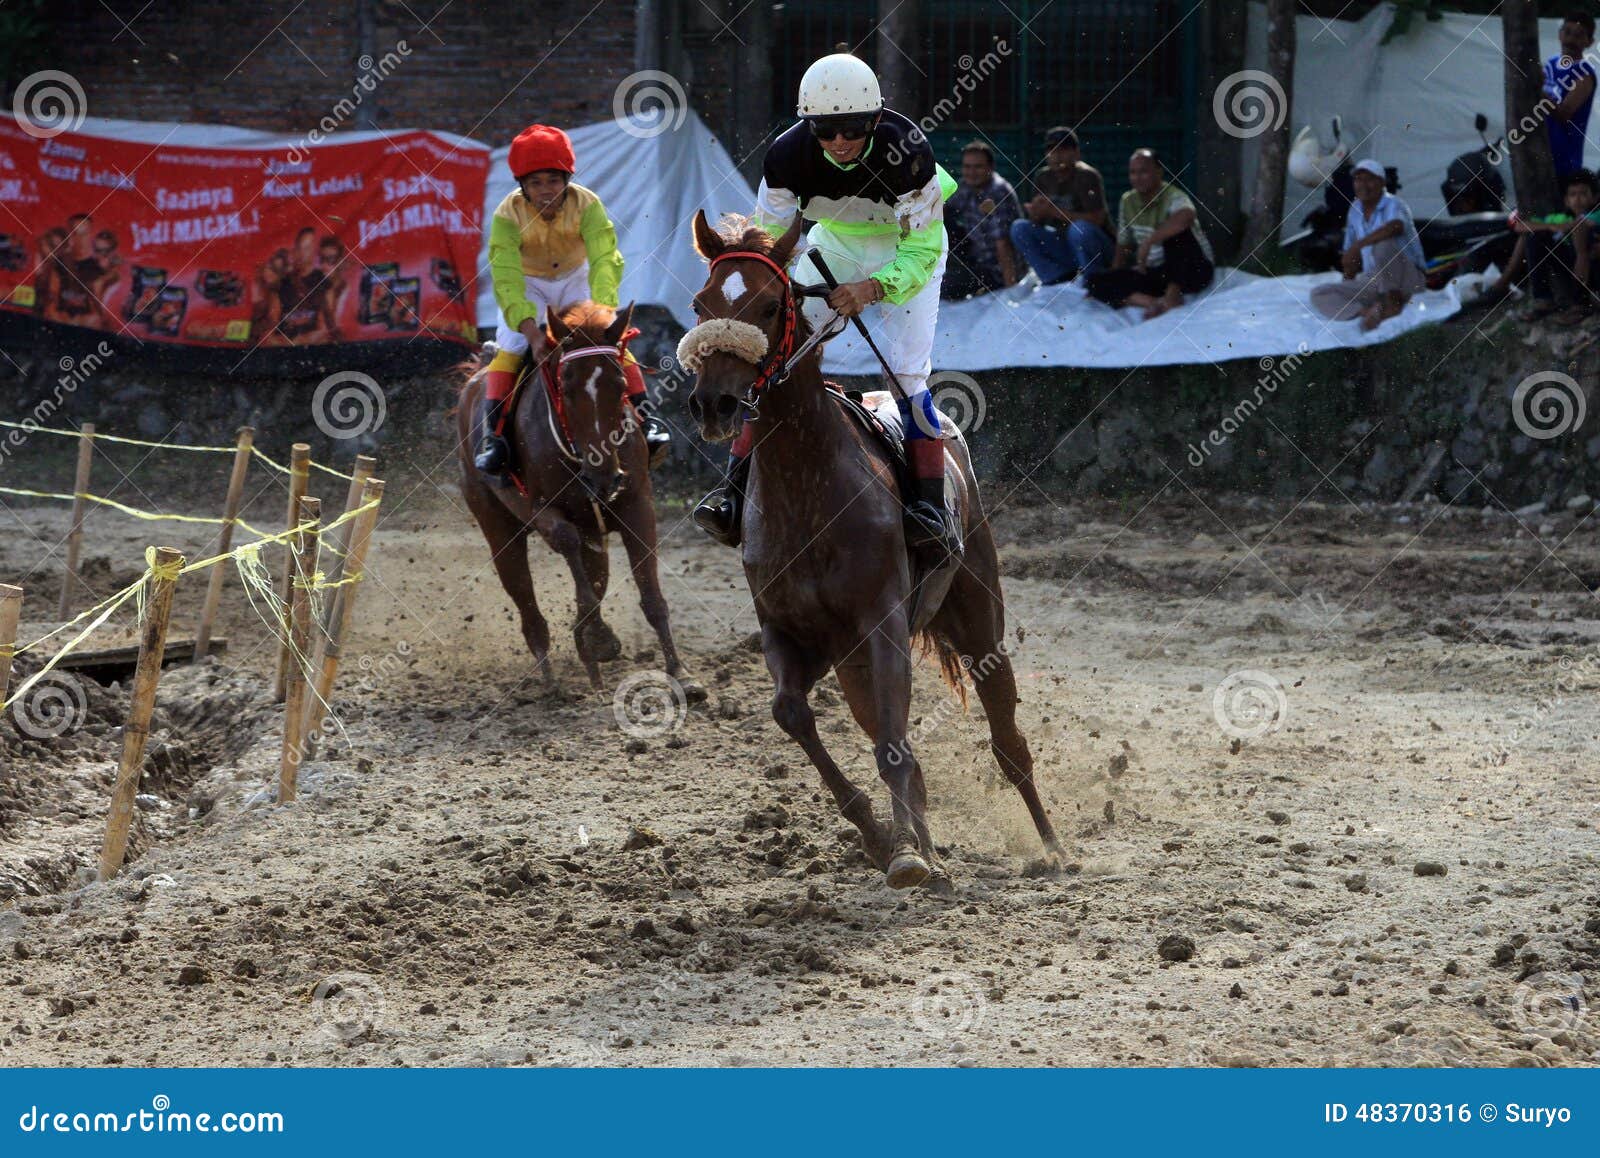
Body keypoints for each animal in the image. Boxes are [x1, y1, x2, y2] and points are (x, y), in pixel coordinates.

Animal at [456, 301, 681, 691]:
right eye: (566, 385)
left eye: (621, 383)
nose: (604, 476)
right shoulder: (539, 508)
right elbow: (566, 540)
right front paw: (598, 637)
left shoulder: (637, 504)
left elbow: (649, 592)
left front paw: (678, 671)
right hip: (497, 526)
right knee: (527, 602)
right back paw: (550, 676)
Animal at [682, 210, 1060, 890]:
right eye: (701, 304)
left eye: (771, 304)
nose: (713, 403)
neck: (807, 487)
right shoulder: (790, 633)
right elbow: (792, 713)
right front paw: (886, 839)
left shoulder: (882, 626)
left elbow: (893, 746)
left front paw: (908, 853)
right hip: (852, 663)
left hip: (976, 616)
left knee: (1007, 740)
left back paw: (1050, 845)